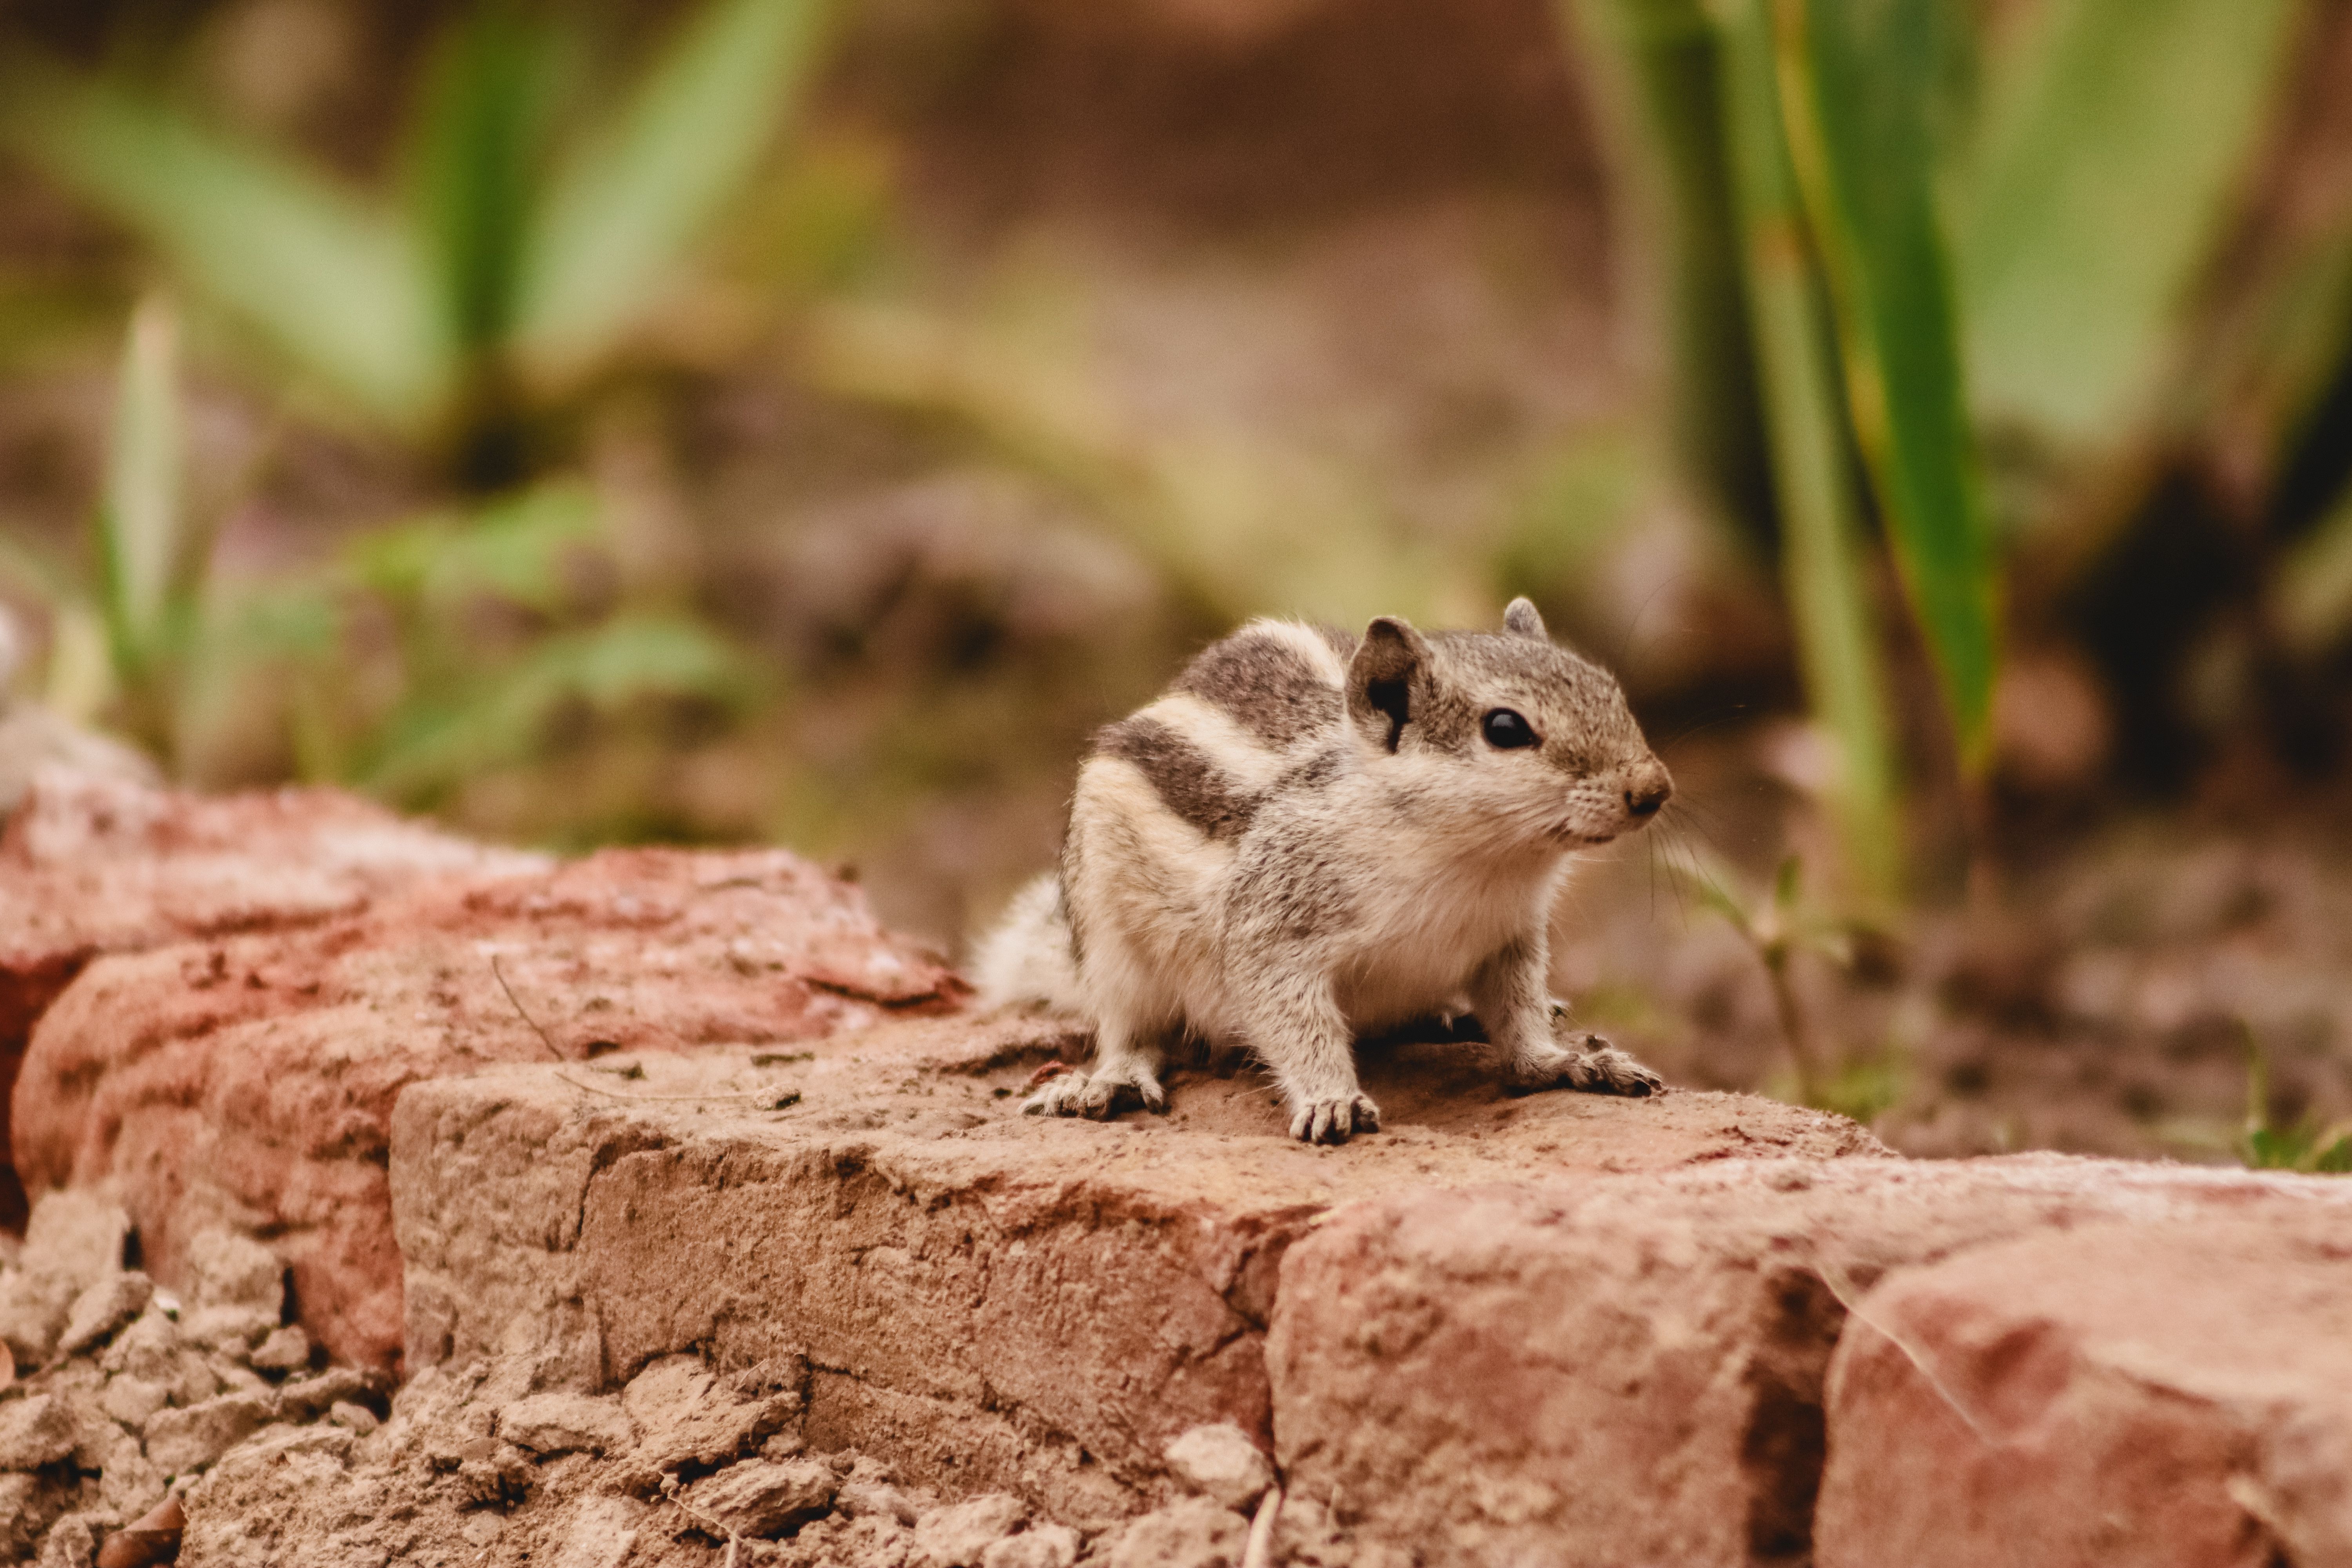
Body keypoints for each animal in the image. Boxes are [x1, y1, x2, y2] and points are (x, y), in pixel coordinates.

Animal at [972, 598, 1673, 1143]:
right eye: (1505, 728)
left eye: (1608, 689)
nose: (1654, 788)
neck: (1472, 863)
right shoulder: (1273, 925)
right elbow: (1293, 1018)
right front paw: (1330, 1097)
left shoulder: (1512, 940)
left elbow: (1522, 1021)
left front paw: (1564, 1062)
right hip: (1110, 942)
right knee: (1128, 1028)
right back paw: (1112, 1079)